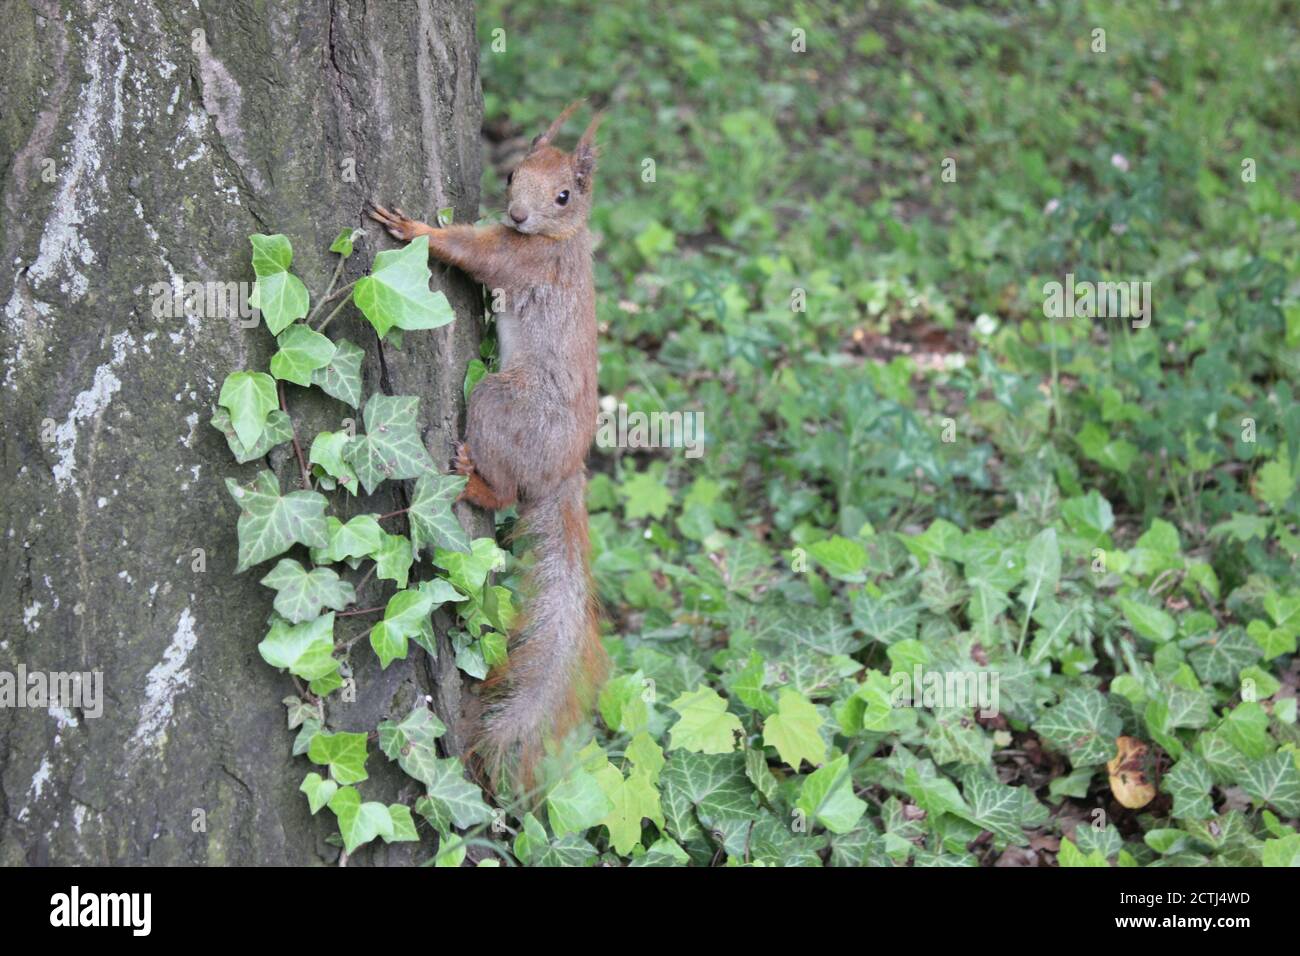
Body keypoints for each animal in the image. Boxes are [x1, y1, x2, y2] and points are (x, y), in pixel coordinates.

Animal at [369, 101, 608, 791]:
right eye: (510, 176)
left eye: (564, 194)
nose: (519, 215)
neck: (556, 240)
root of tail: (564, 471)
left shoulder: (519, 262)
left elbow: (472, 253)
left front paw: (413, 226)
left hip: (502, 402)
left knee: (506, 491)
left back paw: (475, 479)